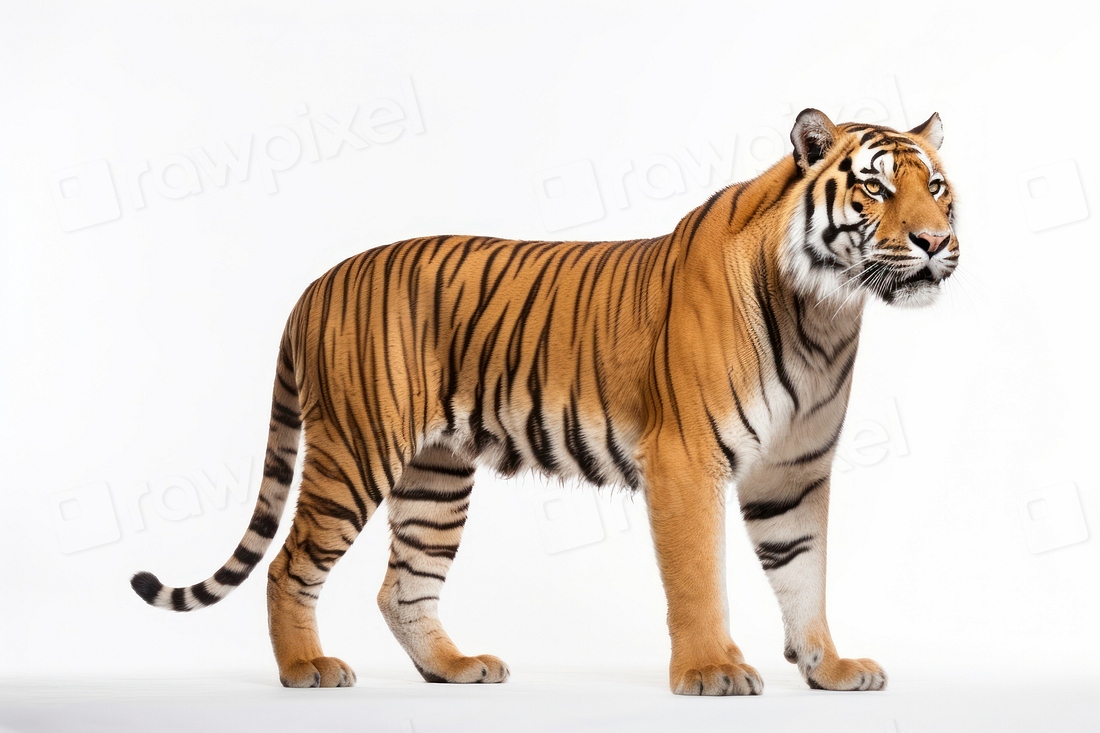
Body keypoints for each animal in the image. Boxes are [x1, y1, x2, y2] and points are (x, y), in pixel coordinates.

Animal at [131, 108, 957, 696]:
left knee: (404, 586)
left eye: (938, 187)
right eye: (876, 187)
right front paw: (712, 670)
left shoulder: (792, 473)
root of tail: (315, 282)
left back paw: (454, 667)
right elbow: (699, 578)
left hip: (435, 477)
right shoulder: (687, 461)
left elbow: (804, 573)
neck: (825, 311)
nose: (933, 240)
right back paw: (306, 668)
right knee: (290, 561)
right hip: (354, 451)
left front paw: (830, 668)